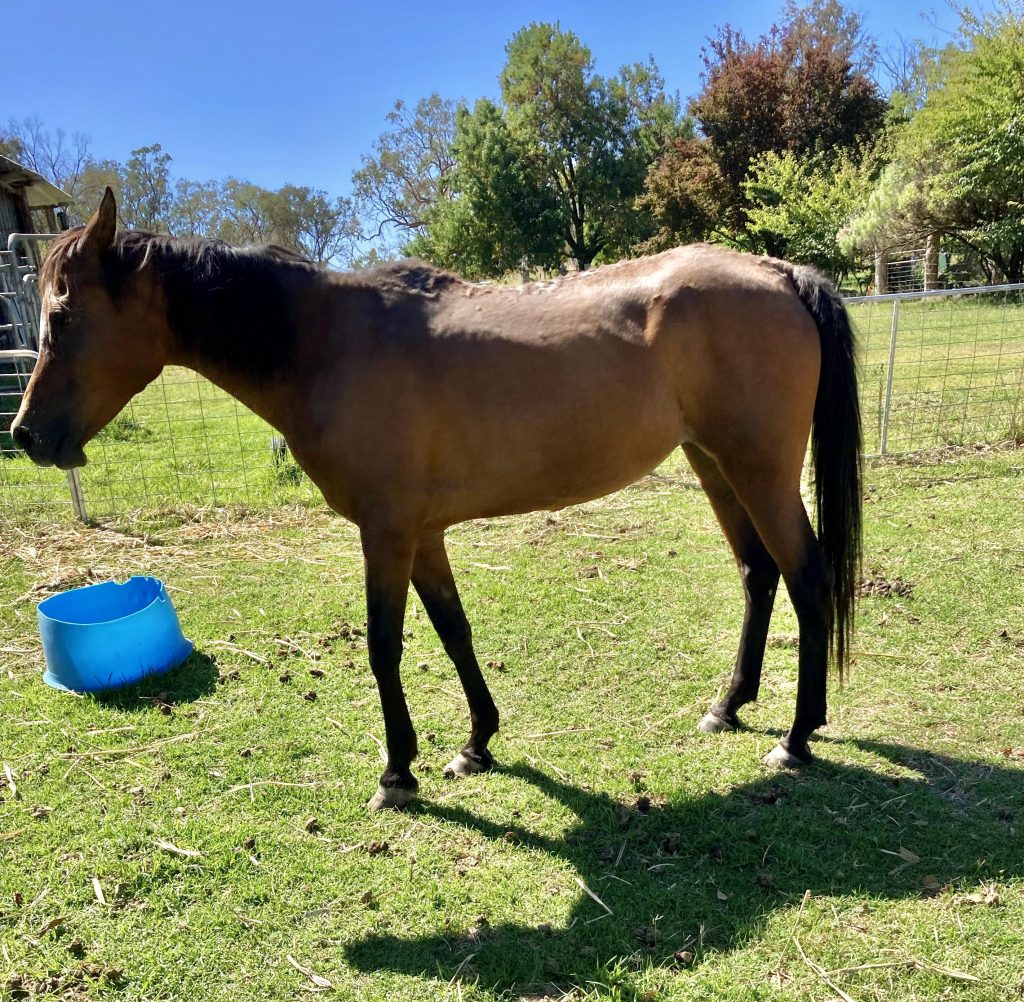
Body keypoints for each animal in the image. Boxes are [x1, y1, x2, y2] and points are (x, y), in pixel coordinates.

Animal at [11, 189, 862, 810]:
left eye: (63, 317)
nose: (27, 435)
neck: (327, 342)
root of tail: (778, 273)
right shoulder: (423, 533)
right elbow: (454, 631)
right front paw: (476, 743)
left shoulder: (385, 531)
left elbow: (385, 646)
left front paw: (397, 774)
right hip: (714, 465)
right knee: (758, 575)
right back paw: (730, 704)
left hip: (760, 472)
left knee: (807, 578)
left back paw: (796, 737)